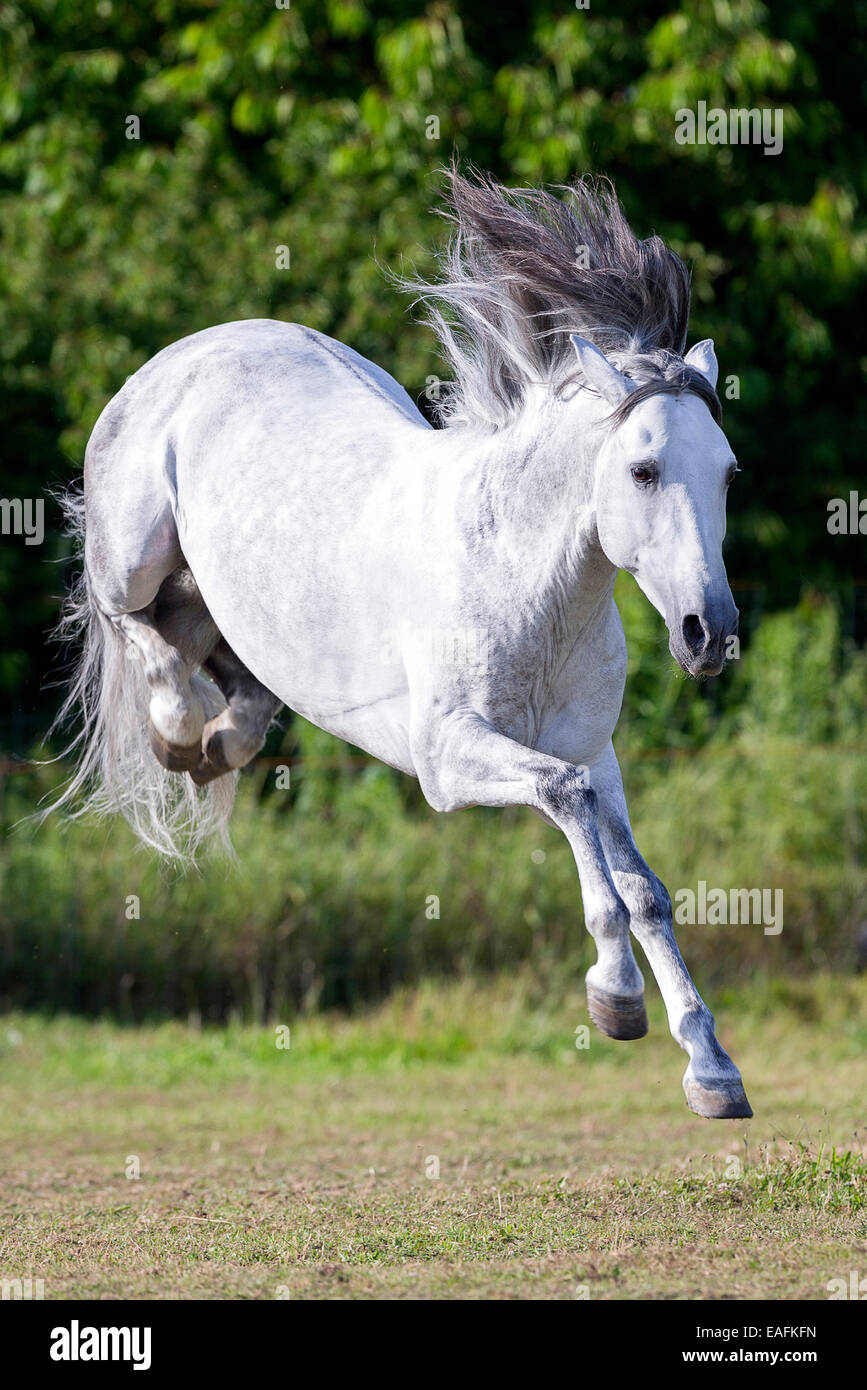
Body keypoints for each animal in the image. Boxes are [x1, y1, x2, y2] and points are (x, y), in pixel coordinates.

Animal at [50, 171, 752, 1120]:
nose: (707, 634)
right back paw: (178, 730)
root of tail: (190, 350)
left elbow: (642, 886)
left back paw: (218, 741)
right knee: (136, 629)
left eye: (727, 474)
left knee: (231, 669)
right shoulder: (450, 760)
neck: (524, 581)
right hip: (133, 552)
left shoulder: (591, 749)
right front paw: (614, 996)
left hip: (228, 601)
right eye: (641, 471)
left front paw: (710, 1068)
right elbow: (566, 804)